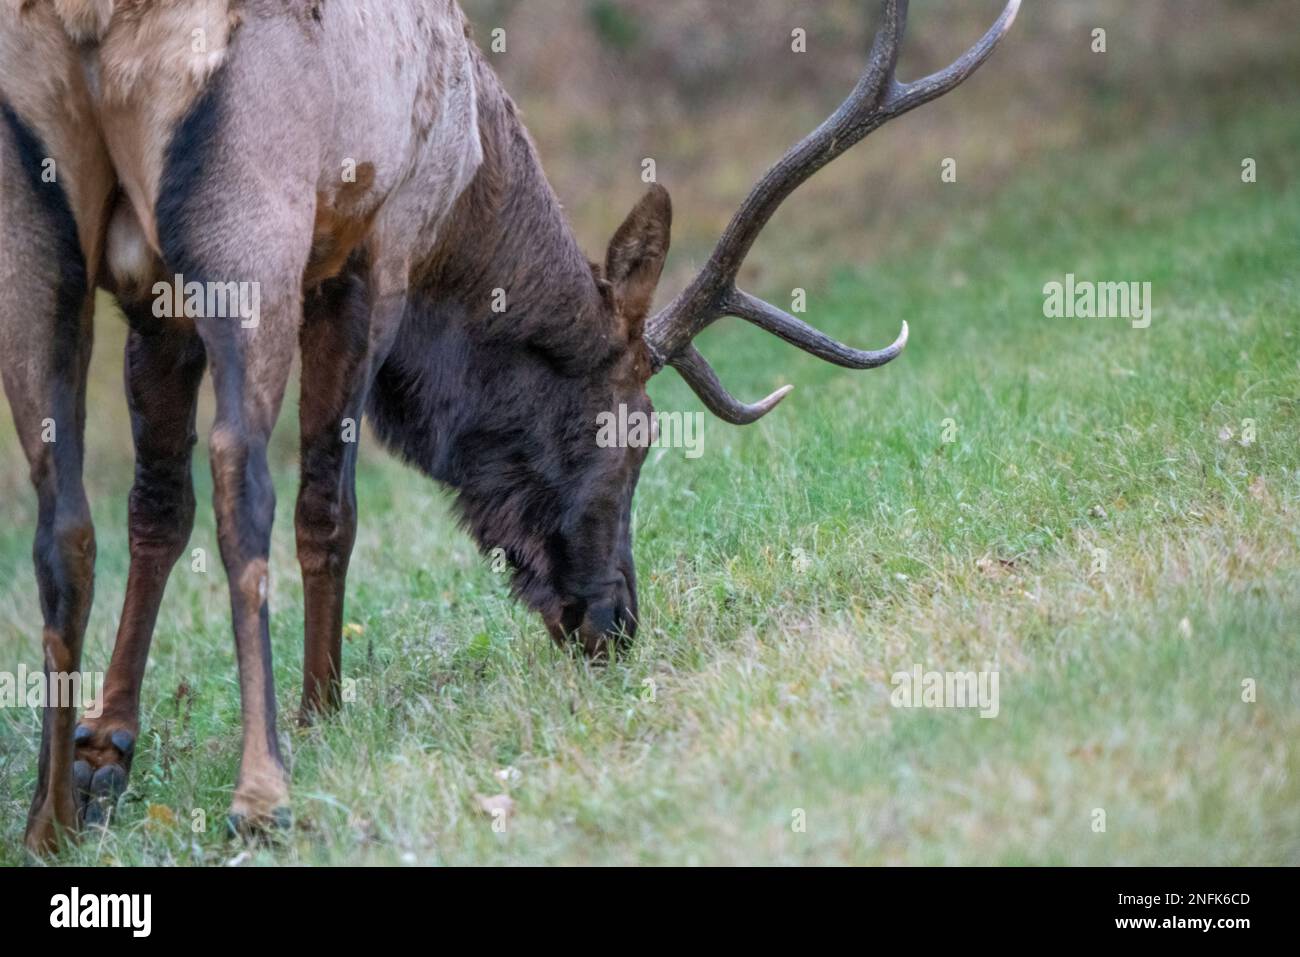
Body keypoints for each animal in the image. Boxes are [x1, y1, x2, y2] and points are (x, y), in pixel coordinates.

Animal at [0, 0, 1019, 853]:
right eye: (635, 436)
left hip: (37, 224)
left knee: (64, 517)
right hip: (252, 211)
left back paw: (48, 820)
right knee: (240, 472)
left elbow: (153, 508)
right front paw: (324, 709)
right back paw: (263, 791)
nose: (615, 621)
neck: (472, 180)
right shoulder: (375, 251)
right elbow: (329, 506)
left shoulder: (153, 299)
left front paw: (107, 746)